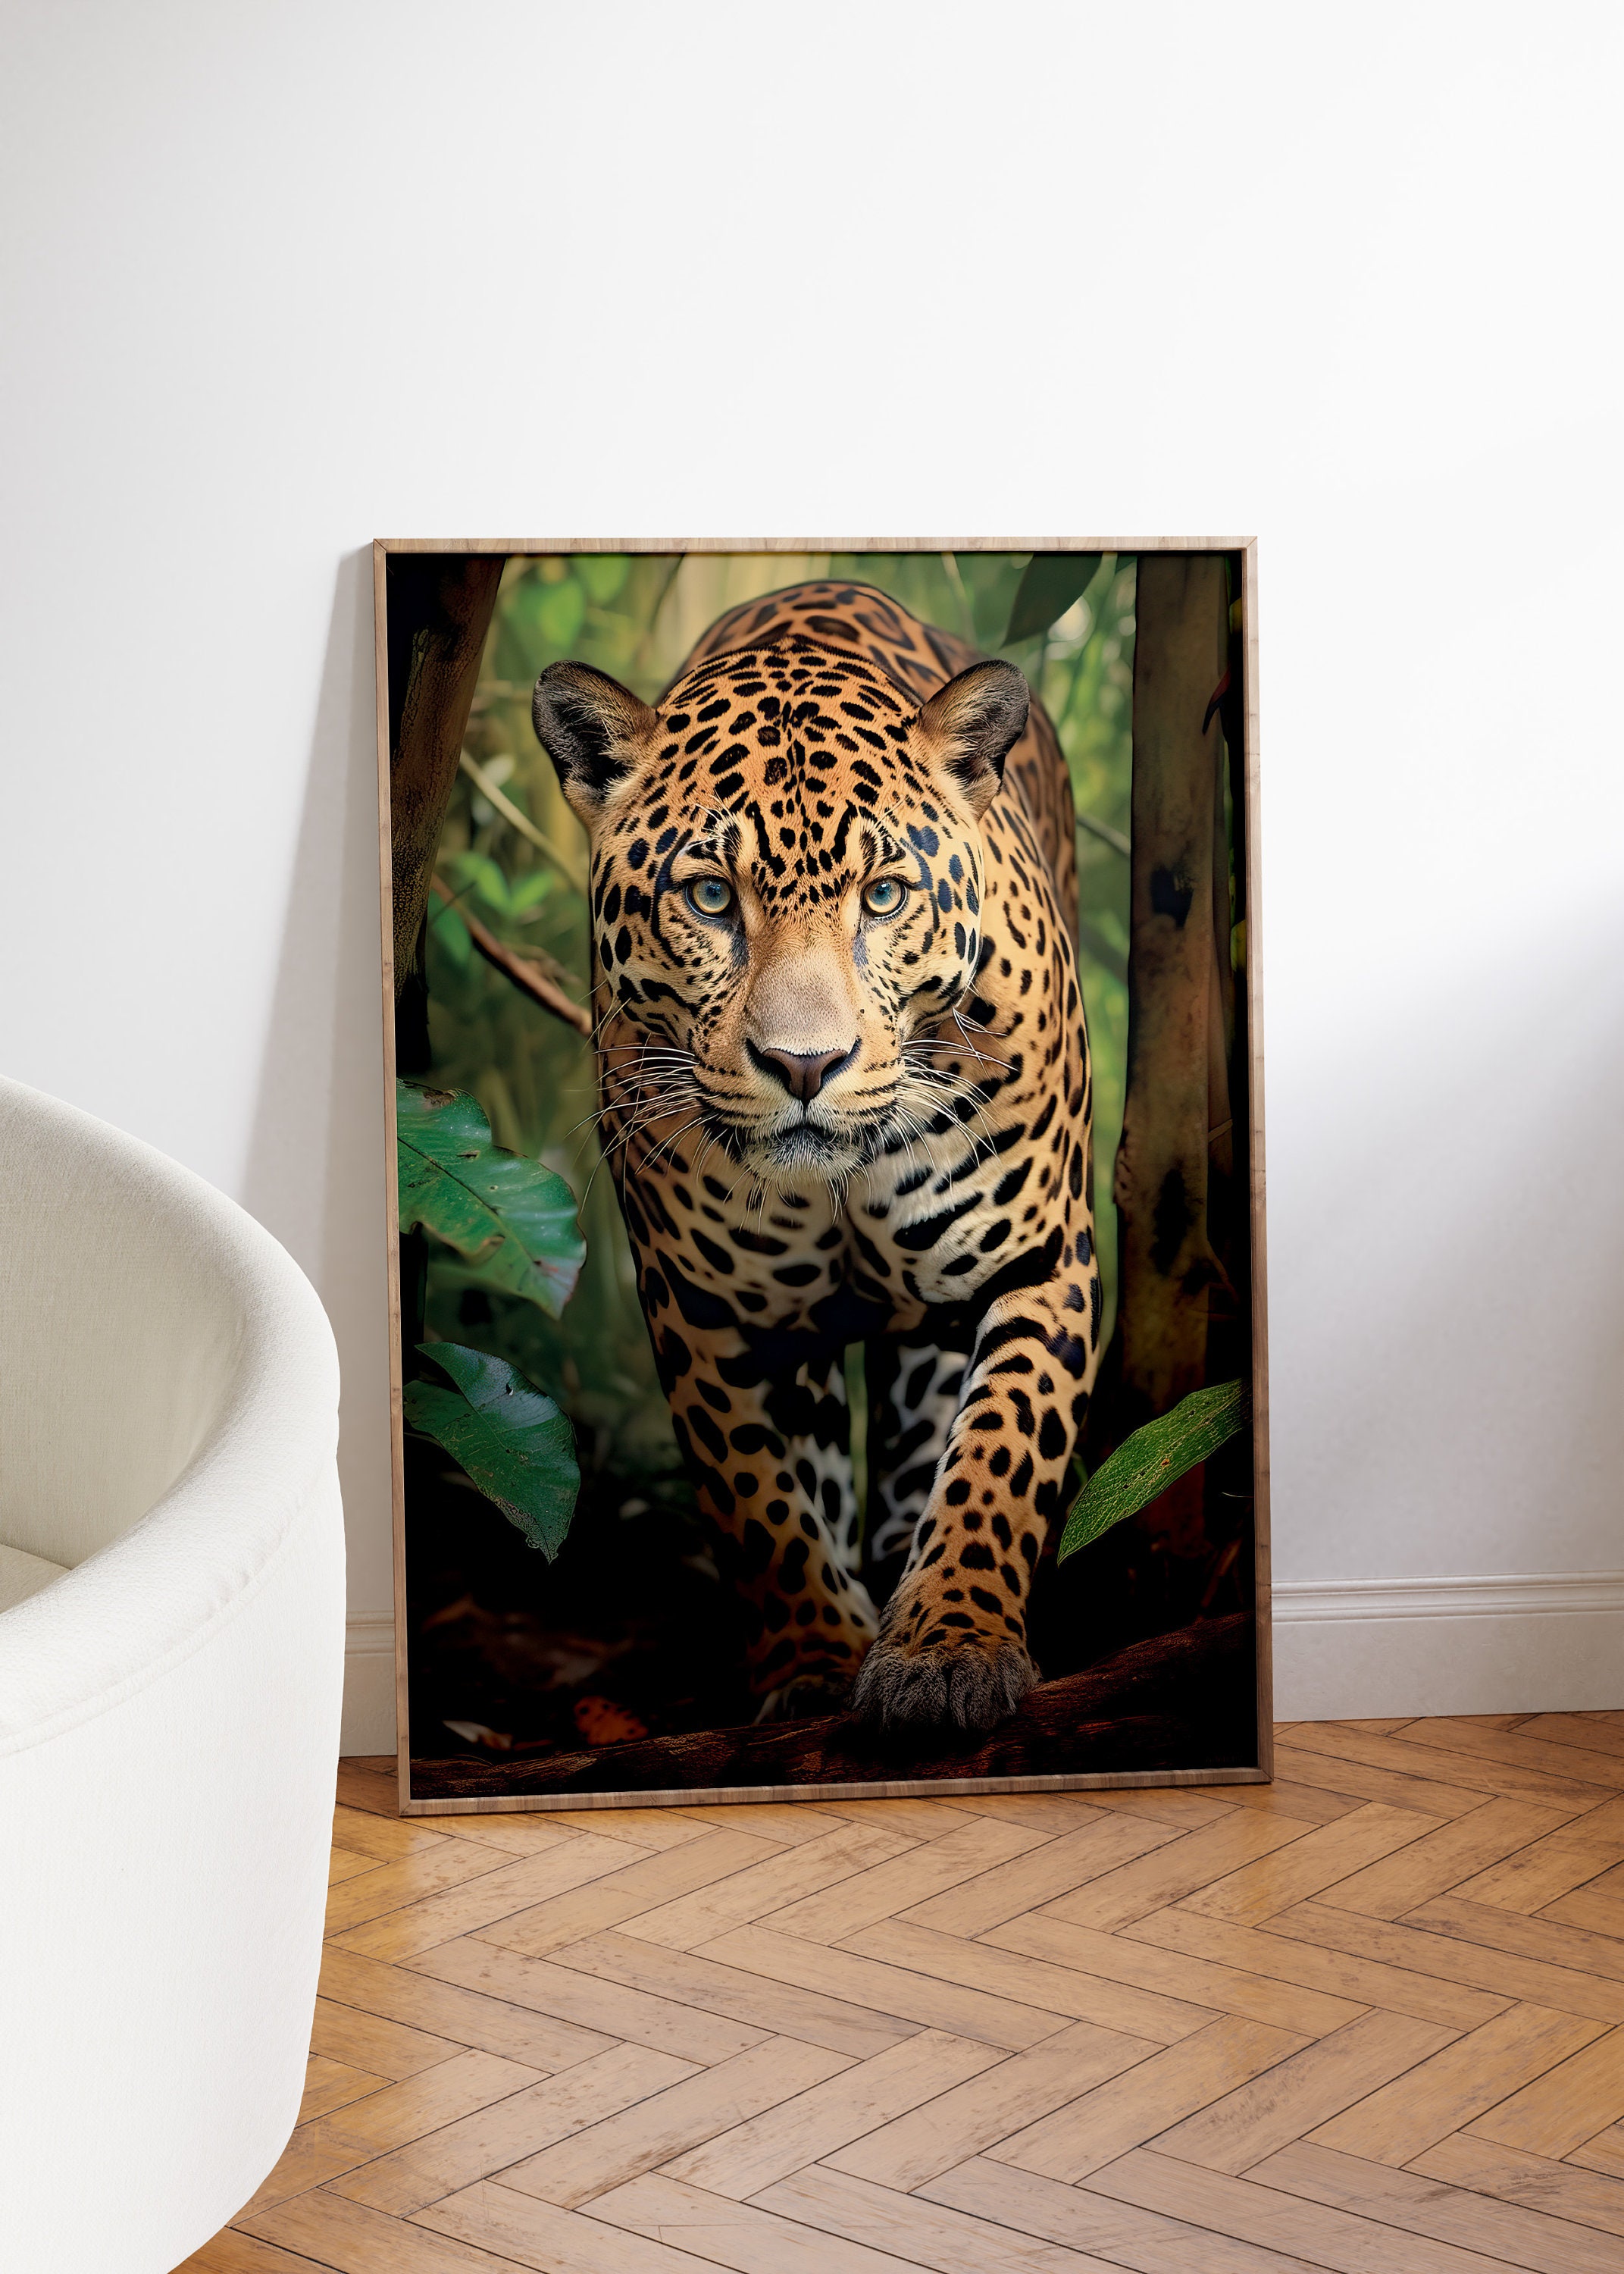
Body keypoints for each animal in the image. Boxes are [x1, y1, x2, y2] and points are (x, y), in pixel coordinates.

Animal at [531, 579, 1101, 1733]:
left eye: (882, 896)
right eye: (710, 897)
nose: (806, 1064)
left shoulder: (1036, 1263)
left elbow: (998, 1455)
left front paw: (947, 1648)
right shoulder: (707, 1310)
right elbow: (761, 1506)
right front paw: (812, 1664)